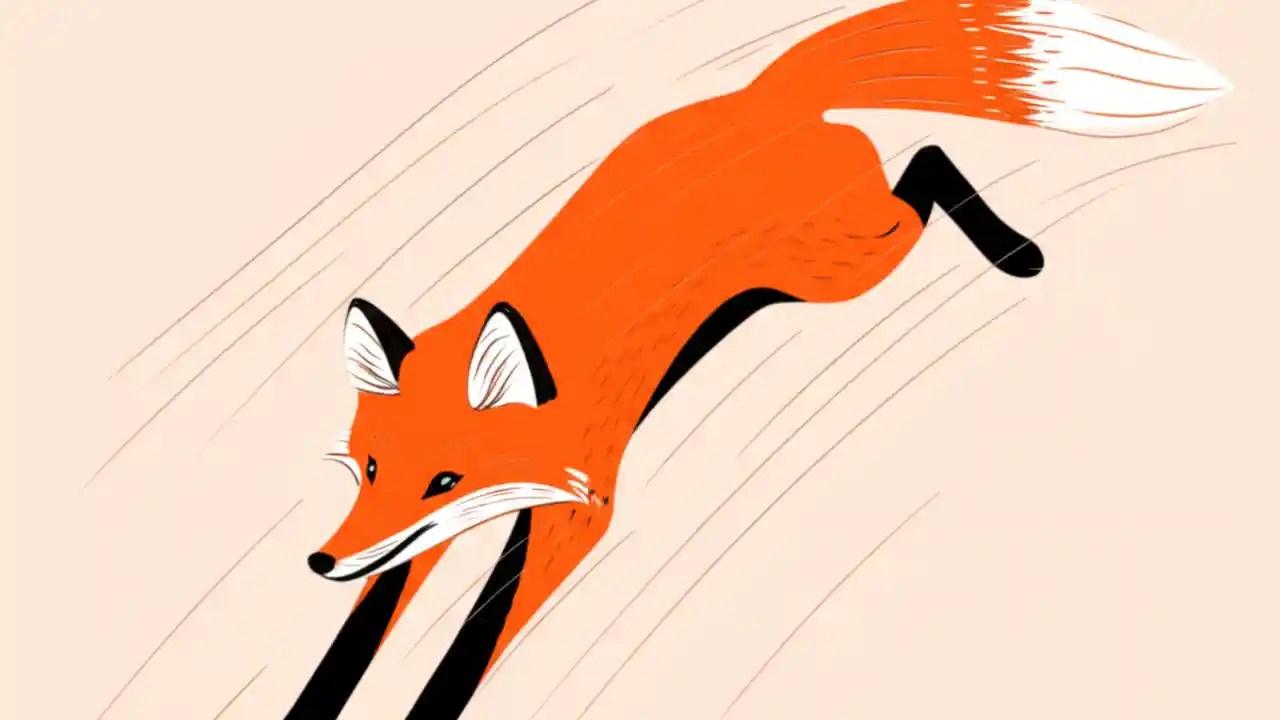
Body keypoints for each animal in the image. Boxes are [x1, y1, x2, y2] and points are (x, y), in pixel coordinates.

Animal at [285, 1, 1230, 717]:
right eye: (370, 469)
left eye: (445, 477)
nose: (318, 563)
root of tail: (767, 95)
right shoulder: (411, 534)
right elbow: (356, 639)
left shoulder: (576, 515)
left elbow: (466, 657)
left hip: (851, 261)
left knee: (926, 162)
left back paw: (1015, 250)